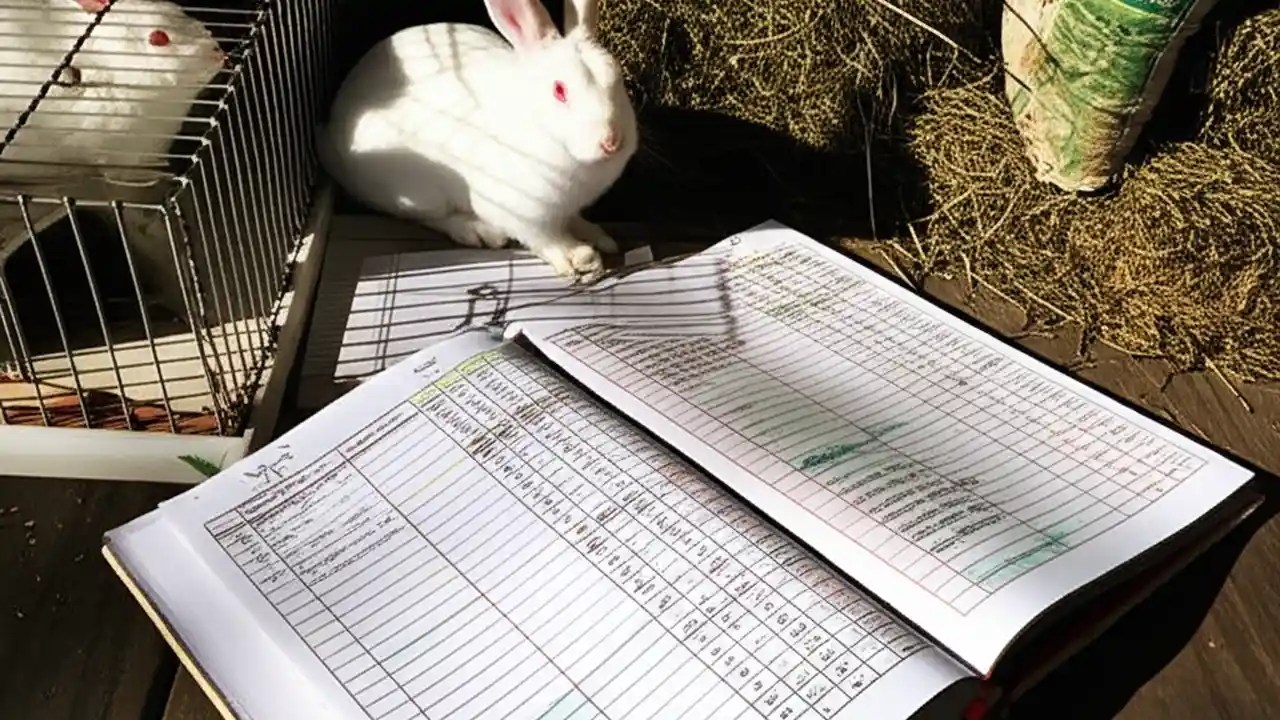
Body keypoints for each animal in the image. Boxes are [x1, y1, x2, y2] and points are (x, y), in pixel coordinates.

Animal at [319, 0, 639, 283]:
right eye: (560, 90)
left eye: (618, 79)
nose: (612, 141)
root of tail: (330, 137)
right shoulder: (521, 215)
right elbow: (545, 240)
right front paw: (578, 258)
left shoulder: (569, 208)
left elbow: (574, 220)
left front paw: (600, 238)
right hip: (414, 191)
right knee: (428, 216)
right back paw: (480, 233)